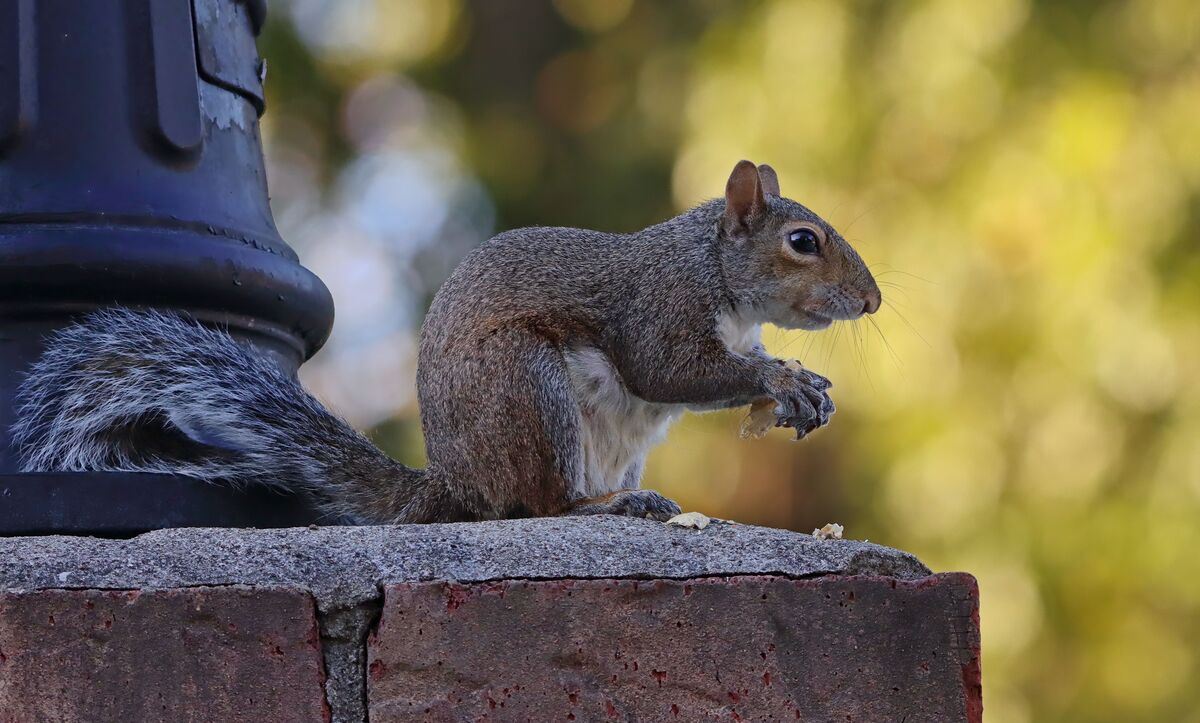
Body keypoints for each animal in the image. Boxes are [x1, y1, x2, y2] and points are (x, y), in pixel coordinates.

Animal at [11, 160, 881, 524]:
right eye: (804, 241)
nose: (872, 299)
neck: (712, 266)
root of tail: (454, 482)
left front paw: (798, 382)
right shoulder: (656, 308)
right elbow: (673, 371)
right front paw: (781, 380)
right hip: (526, 390)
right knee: (539, 505)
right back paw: (604, 502)